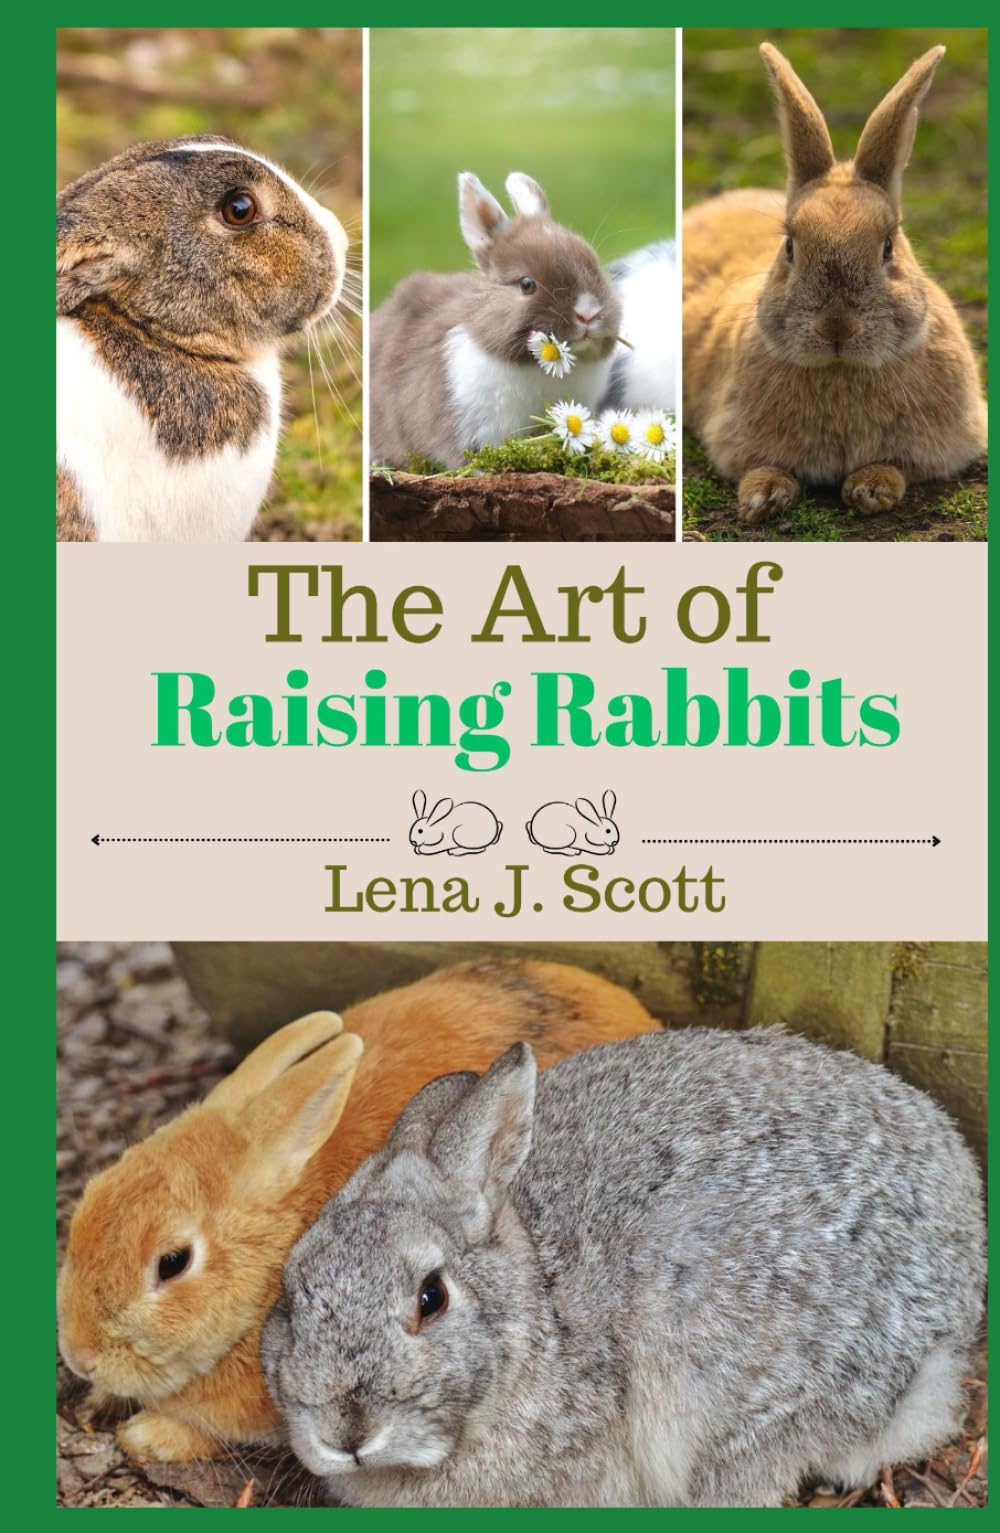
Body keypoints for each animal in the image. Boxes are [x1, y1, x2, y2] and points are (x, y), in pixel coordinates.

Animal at [683, 45, 987, 524]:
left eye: (888, 246)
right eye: (790, 246)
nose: (837, 326)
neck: (841, 370)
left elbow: (897, 466)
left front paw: (871, 488)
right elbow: (761, 466)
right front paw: (762, 497)